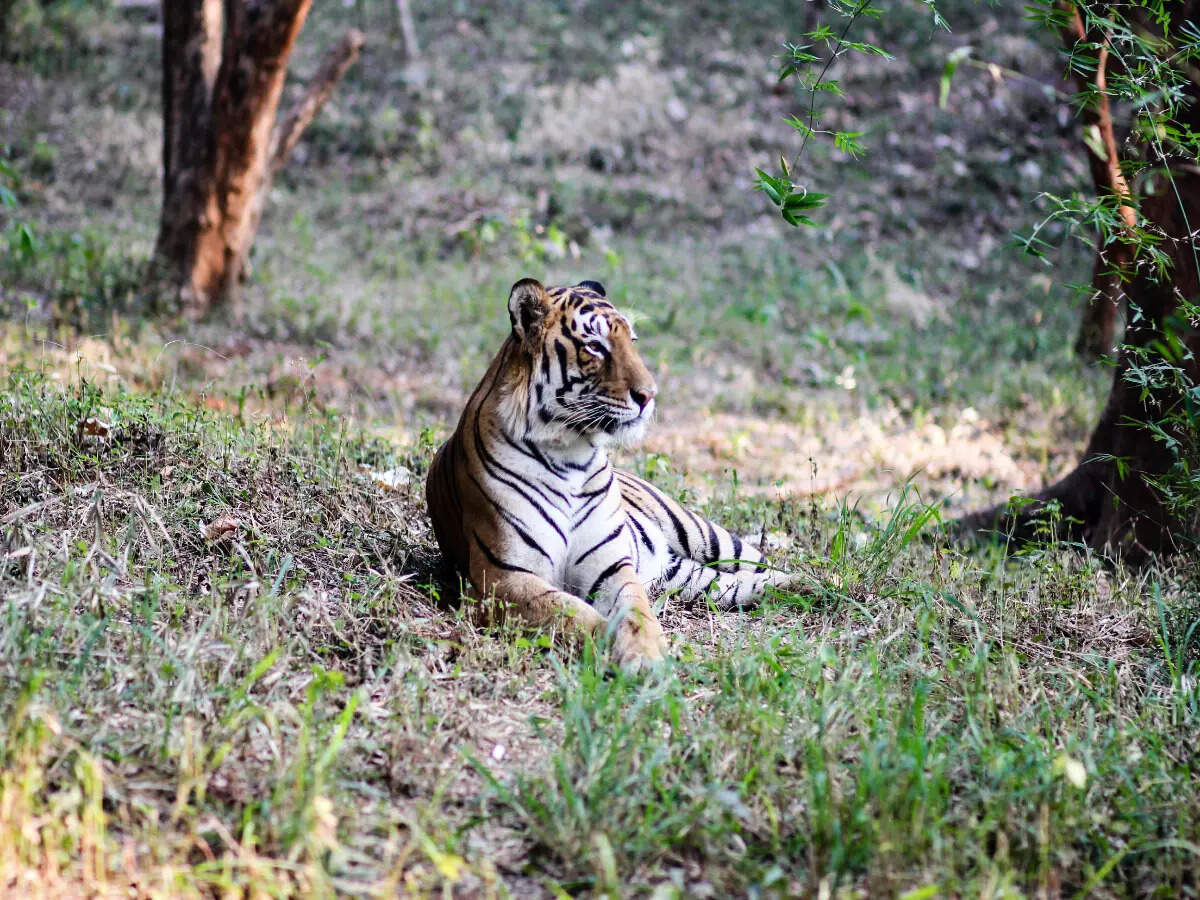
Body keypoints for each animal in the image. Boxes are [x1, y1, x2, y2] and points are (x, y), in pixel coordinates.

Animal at [425, 278, 798, 669]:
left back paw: (815, 583)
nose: (649, 395)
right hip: (688, 577)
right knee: (740, 583)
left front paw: (648, 653)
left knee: (769, 567)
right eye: (595, 346)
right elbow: (573, 613)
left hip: (706, 534)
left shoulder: (613, 568)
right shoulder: (503, 578)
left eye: (632, 342)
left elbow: (636, 613)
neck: (568, 454)